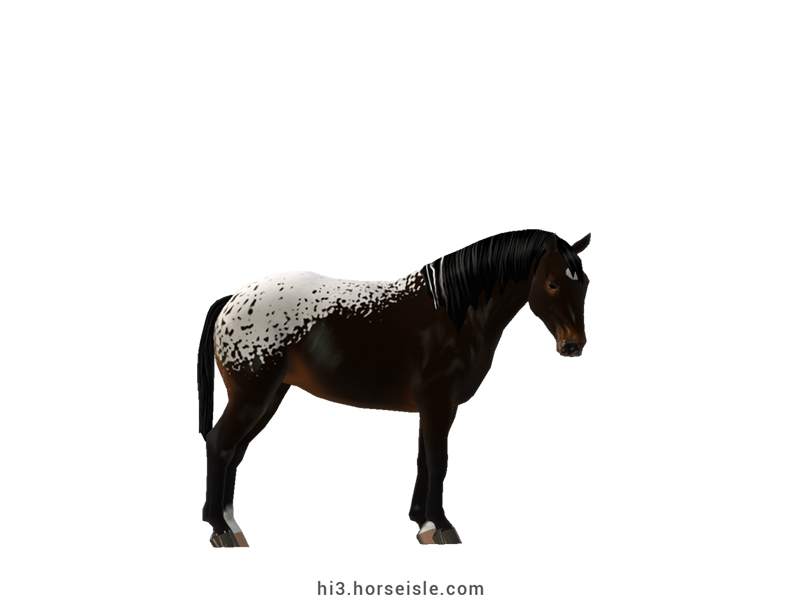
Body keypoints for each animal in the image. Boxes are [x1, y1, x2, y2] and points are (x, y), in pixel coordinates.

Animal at [198, 230, 588, 547]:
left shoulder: (434, 404)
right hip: (248, 397)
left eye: (580, 283)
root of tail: (232, 301)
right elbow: (439, 458)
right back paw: (220, 529)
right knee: (220, 446)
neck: (452, 313)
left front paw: (420, 518)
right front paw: (442, 525)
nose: (573, 345)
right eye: (553, 283)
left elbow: (425, 458)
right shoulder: (436, 400)